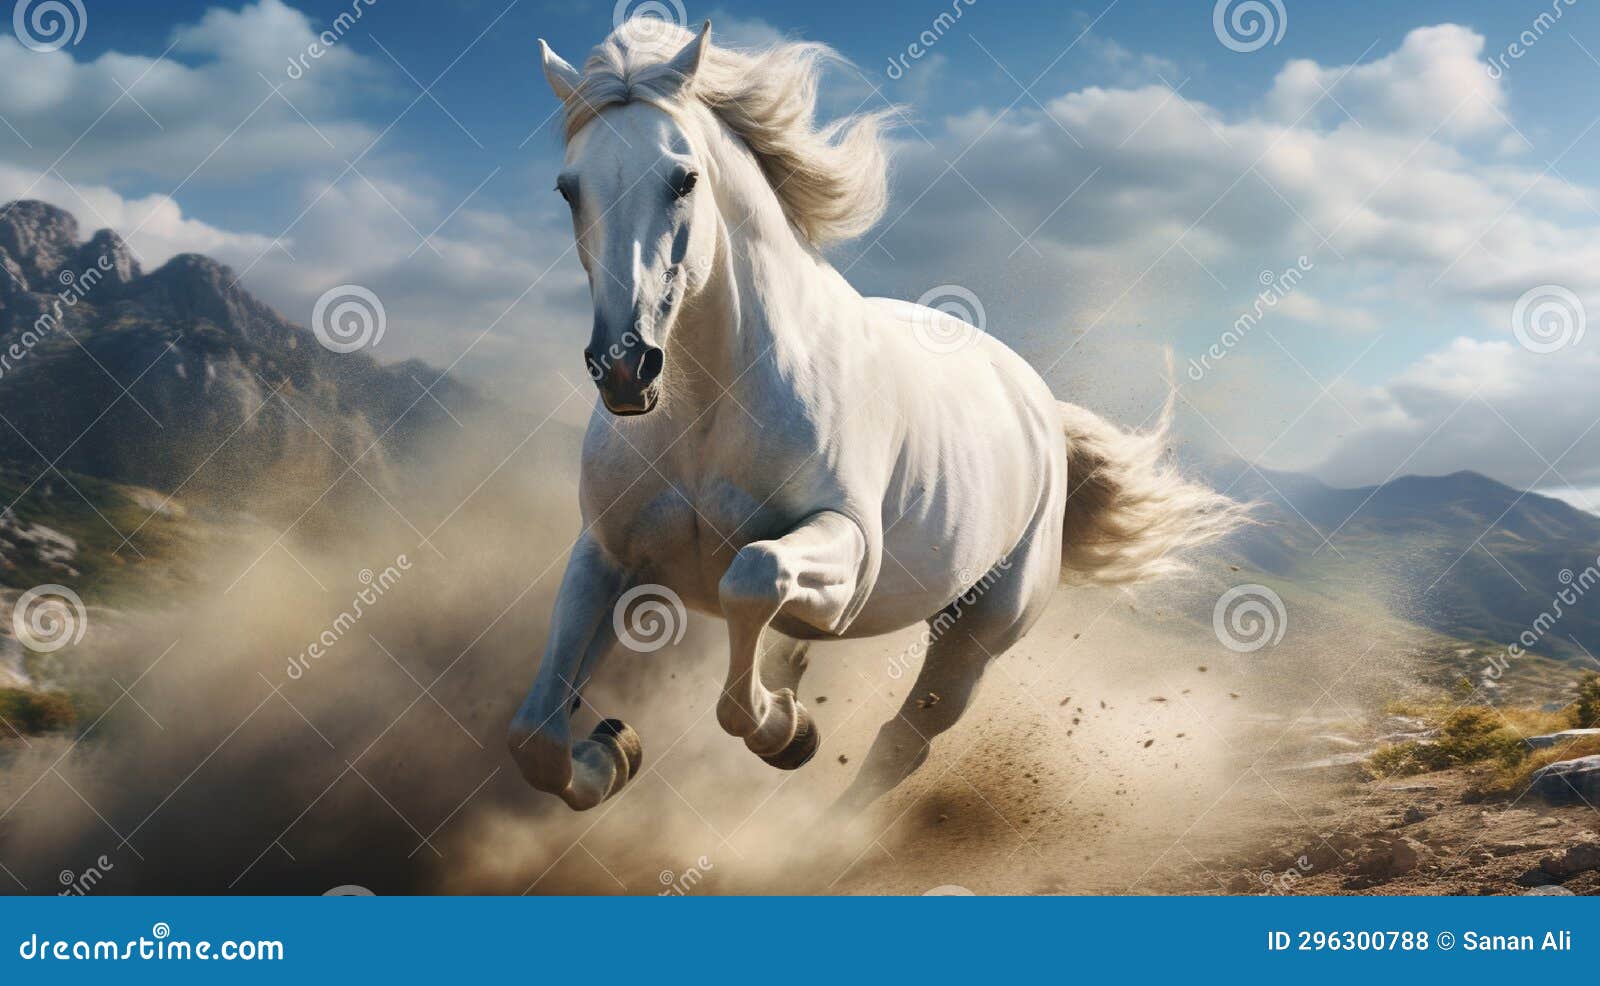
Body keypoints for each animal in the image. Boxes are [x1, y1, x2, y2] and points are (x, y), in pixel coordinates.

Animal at [508, 21, 1242, 813]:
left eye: (685, 179)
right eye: (568, 188)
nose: (624, 367)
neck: (706, 410)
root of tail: (1040, 407)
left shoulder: (848, 546)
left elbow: (753, 581)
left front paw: (786, 732)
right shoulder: (607, 558)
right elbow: (535, 735)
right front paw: (612, 752)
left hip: (978, 632)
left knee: (902, 741)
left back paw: (828, 827)